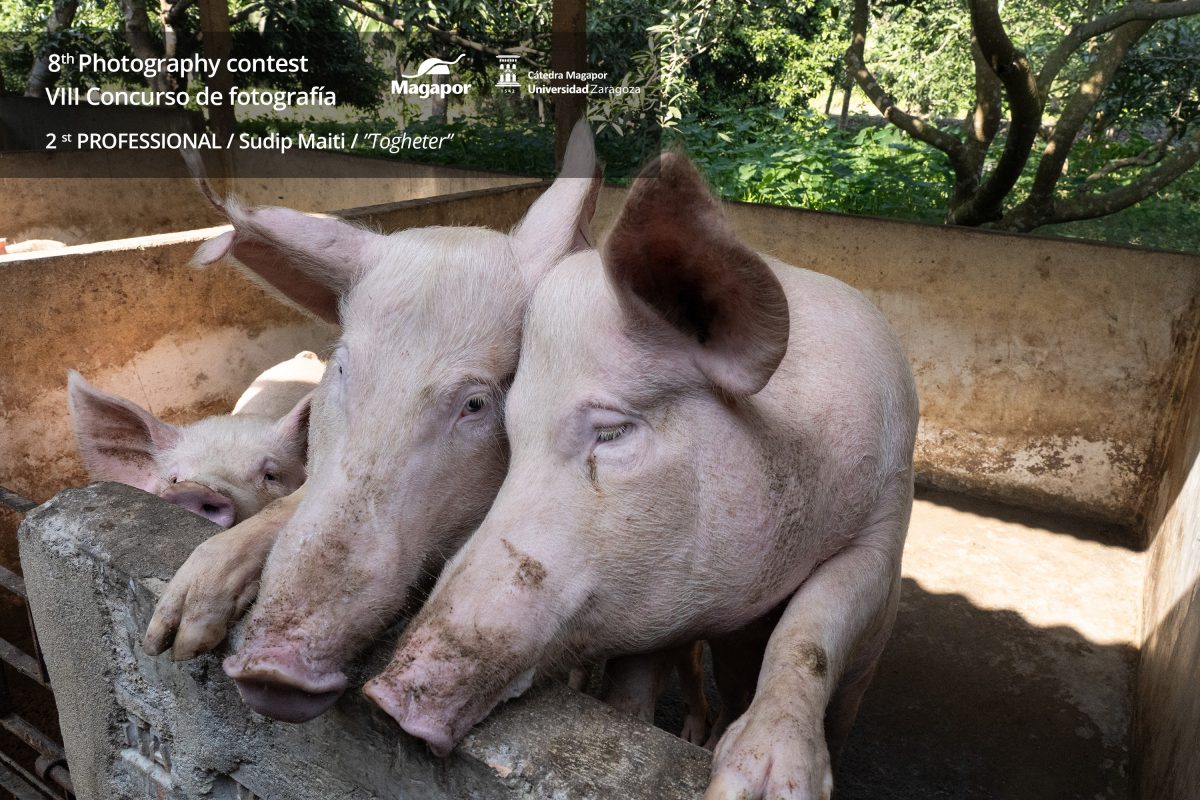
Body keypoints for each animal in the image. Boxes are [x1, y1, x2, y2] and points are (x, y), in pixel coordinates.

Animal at [362, 152, 919, 800]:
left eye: (611, 433)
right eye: (512, 432)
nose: (382, 694)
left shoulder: (885, 526)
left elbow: (812, 625)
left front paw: (755, 786)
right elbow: (632, 695)